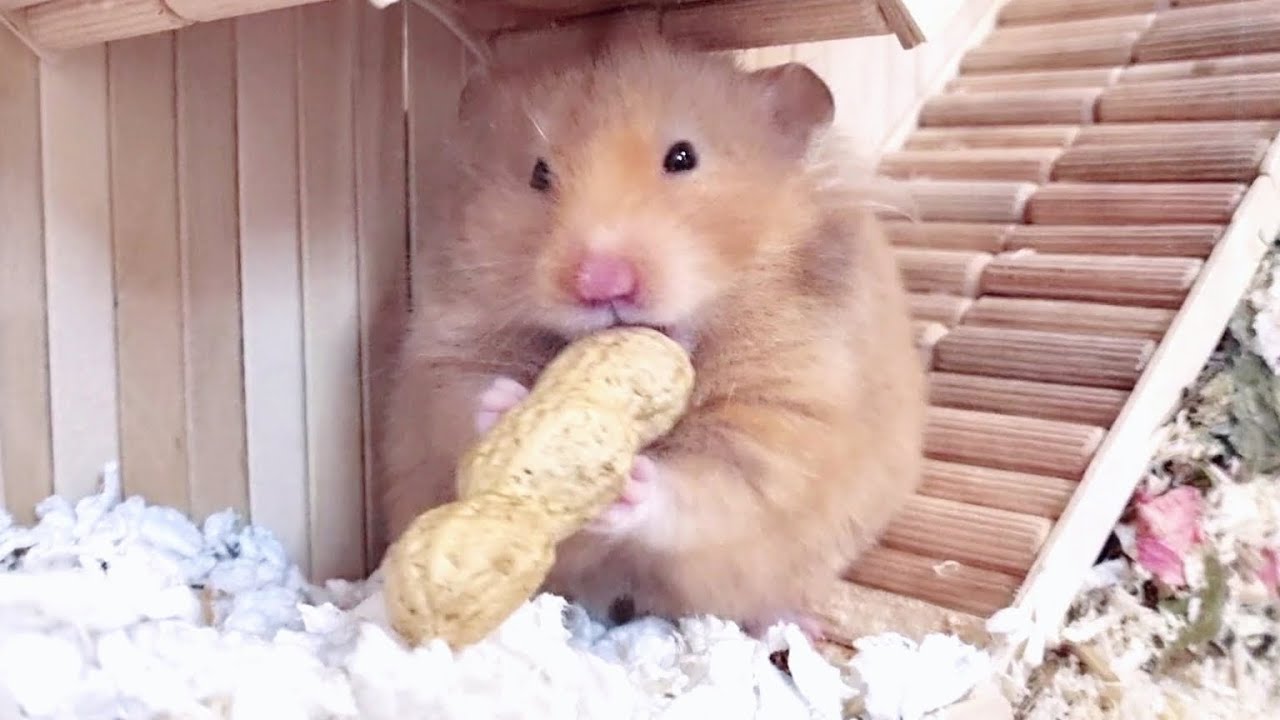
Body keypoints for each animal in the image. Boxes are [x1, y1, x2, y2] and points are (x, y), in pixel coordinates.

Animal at [378, 24, 927, 638]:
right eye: (539, 173)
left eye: (682, 157)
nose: (602, 282)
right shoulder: (443, 351)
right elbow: (462, 401)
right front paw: (506, 406)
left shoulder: (789, 409)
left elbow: (717, 483)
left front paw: (630, 483)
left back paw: (798, 625)